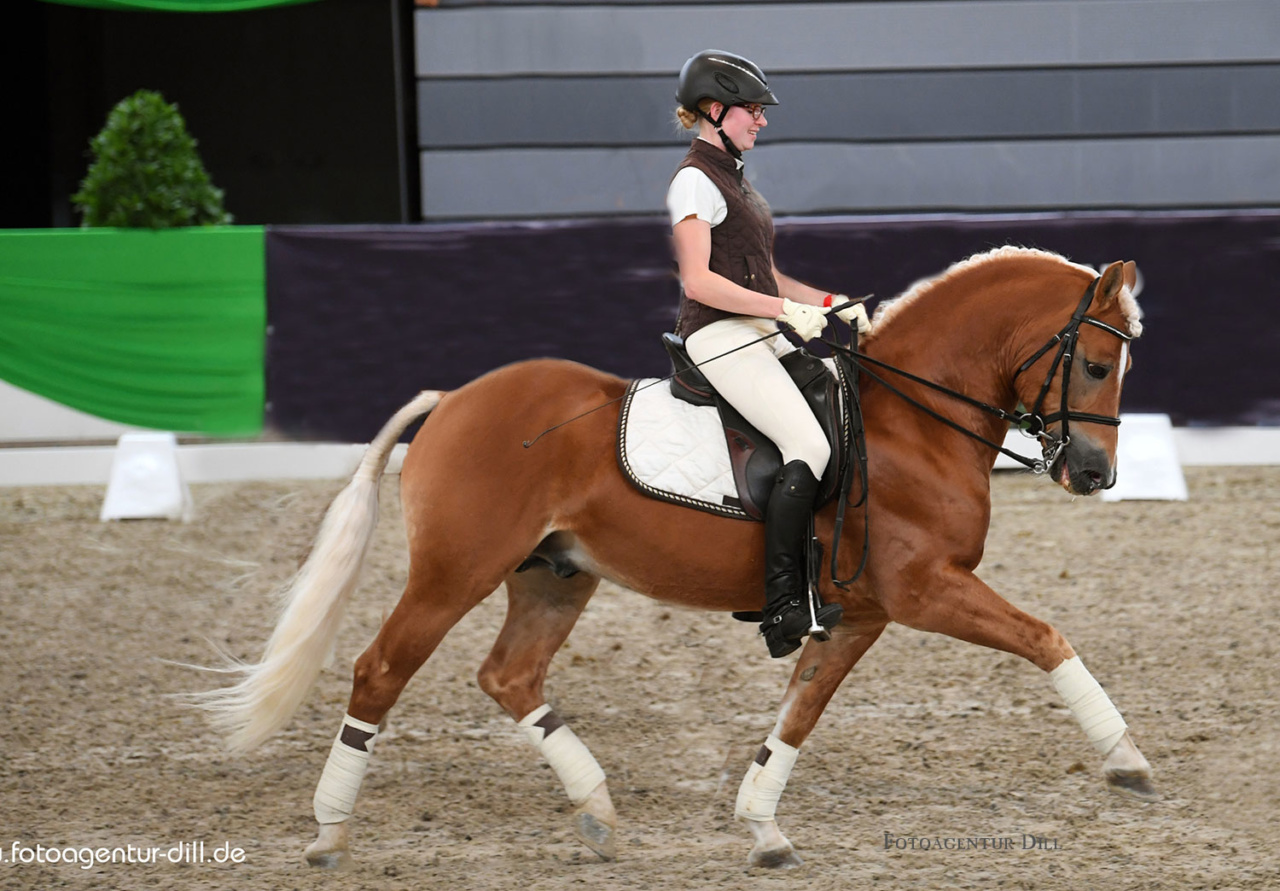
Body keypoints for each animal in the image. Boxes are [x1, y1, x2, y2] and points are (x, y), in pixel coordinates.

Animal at [195, 246, 1154, 870]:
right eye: (1095, 363)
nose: (1095, 473)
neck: (911, 423)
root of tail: (455, 397)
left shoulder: (863, 612)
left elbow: (798, 713)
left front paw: (762, 826)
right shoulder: (924, 589)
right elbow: (1047, 637)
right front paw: (1125, 757)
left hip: (554, 577)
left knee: (509, 676)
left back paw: (597, 809)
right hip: (452, 573)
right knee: (379, 670)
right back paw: (328, 829)